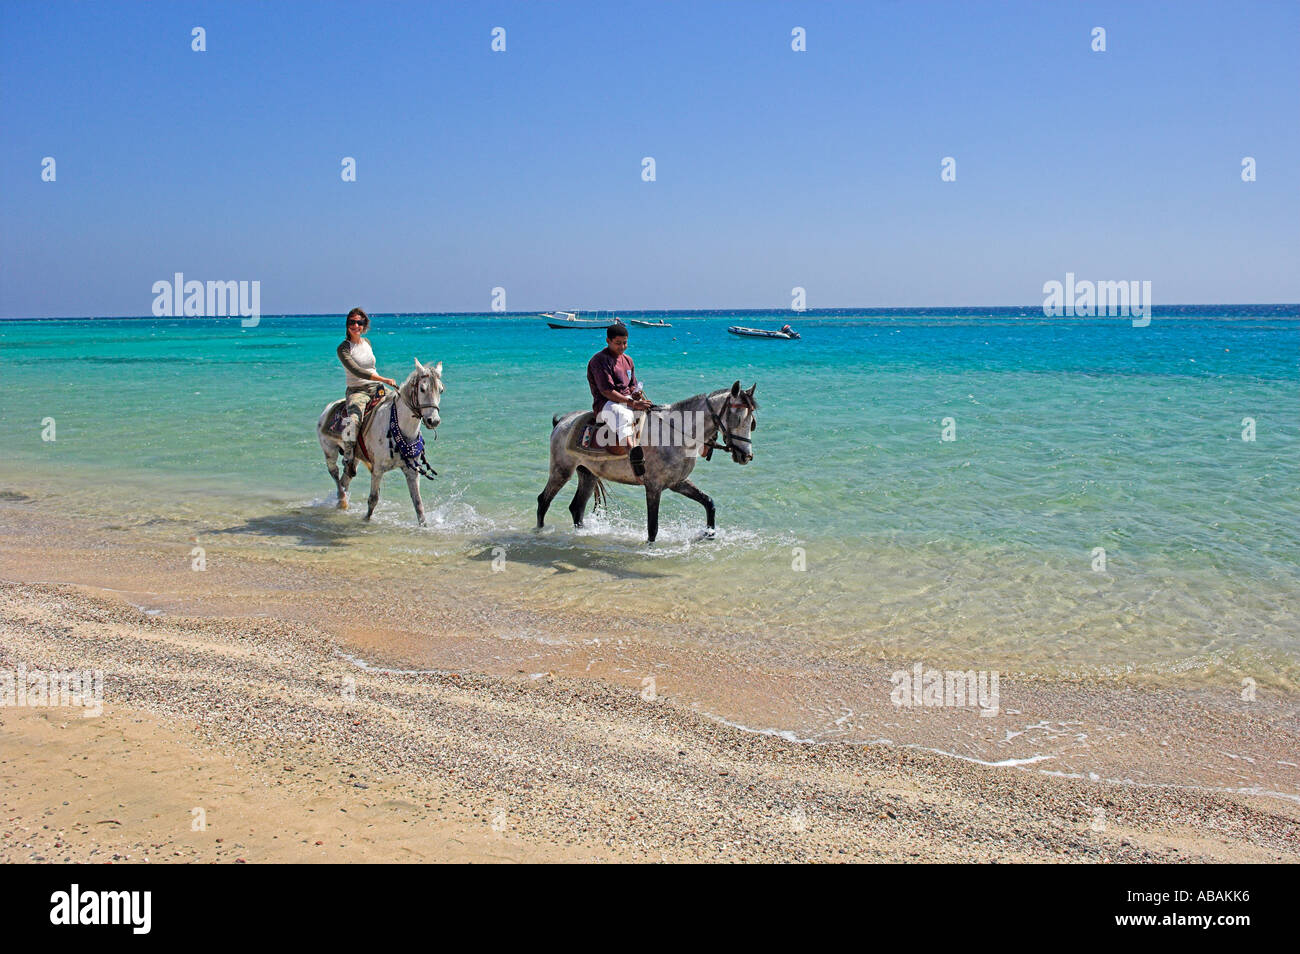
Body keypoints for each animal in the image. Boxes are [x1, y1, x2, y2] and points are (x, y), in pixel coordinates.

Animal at [317, 359, 443, 525]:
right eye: (422, 389)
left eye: (441, 390)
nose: (433, 420)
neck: (398, 427)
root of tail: (329, 408)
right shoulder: (377, 470)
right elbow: (373, 499)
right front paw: (366, 520)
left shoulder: (411, 471)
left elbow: (418, 505)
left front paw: (424, 526)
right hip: (329, 450)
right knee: (335, 473)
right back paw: (342, 498)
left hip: (354, 458)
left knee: (346, 478)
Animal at [538, 381, 758, 543]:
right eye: (738, 419)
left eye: (752, 423)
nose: (746, 455)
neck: (676, 433)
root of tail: (562, 422)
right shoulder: (653, 486)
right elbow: (653, 527)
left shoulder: (677, 482)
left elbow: (709, 503)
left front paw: (709, 534)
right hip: (561, 471)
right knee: (544, 501)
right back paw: (539, 532)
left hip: (588, 474)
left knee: (577, 508)